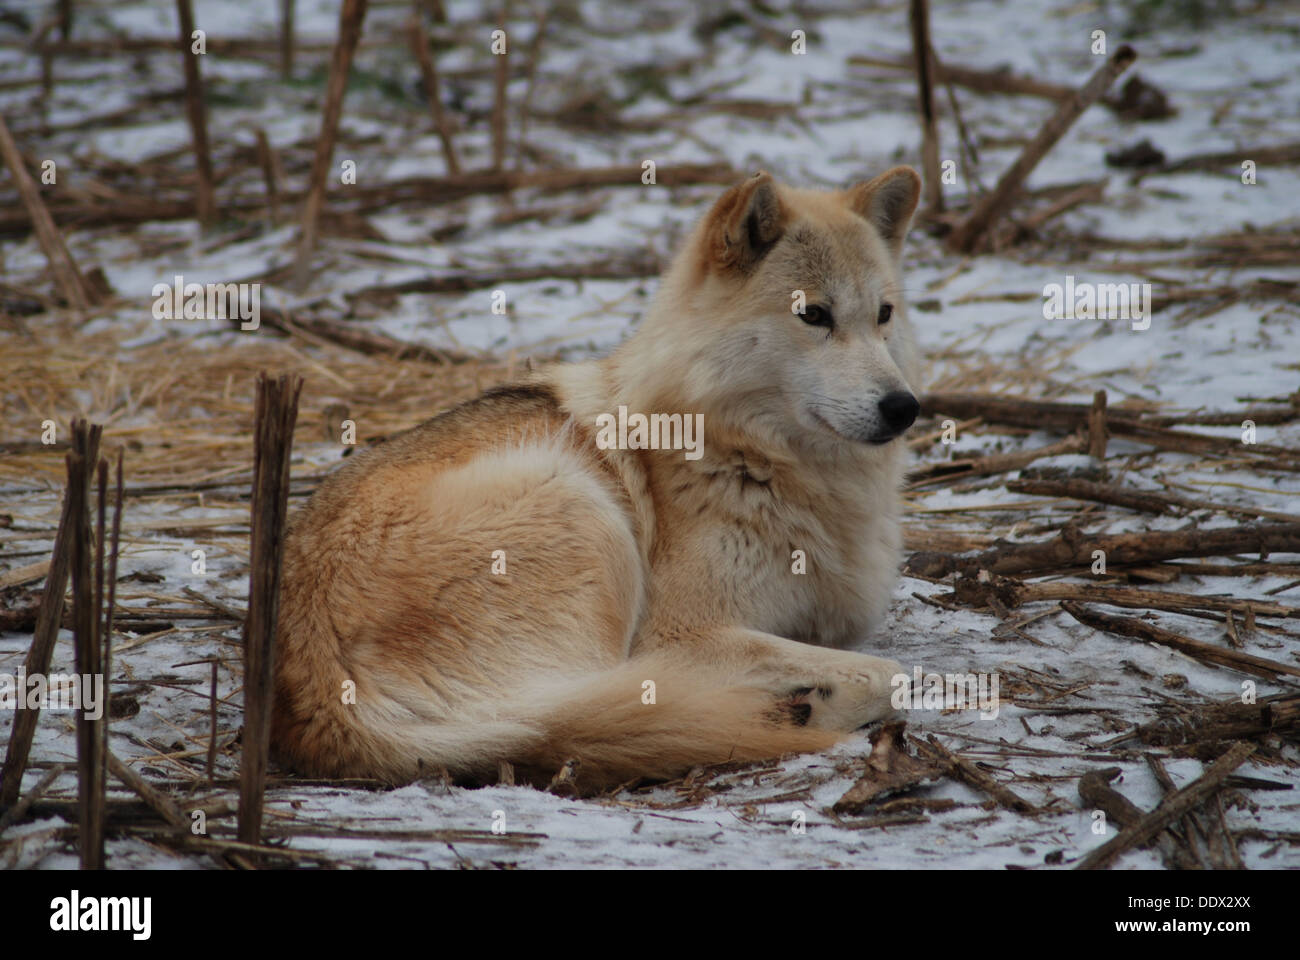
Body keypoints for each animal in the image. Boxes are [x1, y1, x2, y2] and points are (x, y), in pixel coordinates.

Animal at [271, 167, 924, 794]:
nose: (904, 407)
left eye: (884, 315)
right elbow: (895, 673)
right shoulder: (678, 633)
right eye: (813, 315)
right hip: (580, 506)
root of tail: (320, 702)